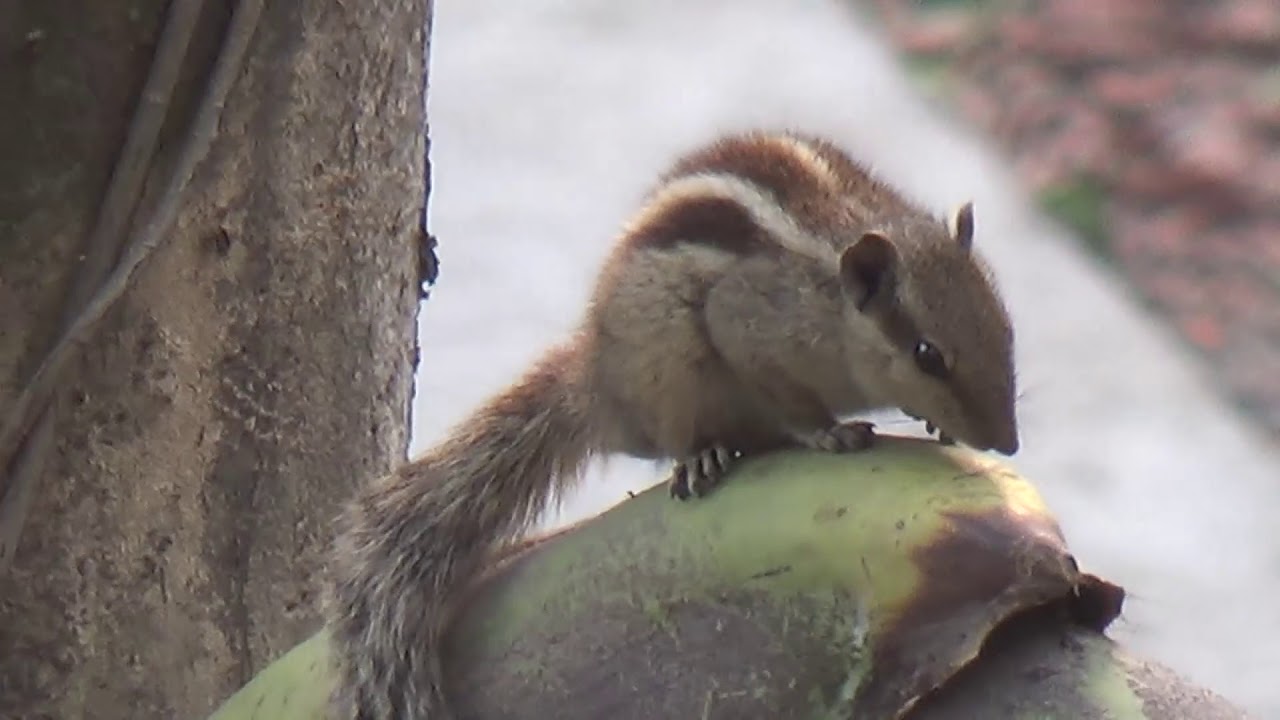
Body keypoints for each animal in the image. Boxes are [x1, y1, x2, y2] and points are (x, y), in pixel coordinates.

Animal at [327, 130, 1020, 719]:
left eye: (1005, 325)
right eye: (927, 355)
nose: (1008, 443)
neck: (829, 297)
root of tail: (597, 381)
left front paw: (936, 427)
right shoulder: (749, 330)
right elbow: (786, 398)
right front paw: (828, 432)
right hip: (667, 369)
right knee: (682, 437)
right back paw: (703, 455)